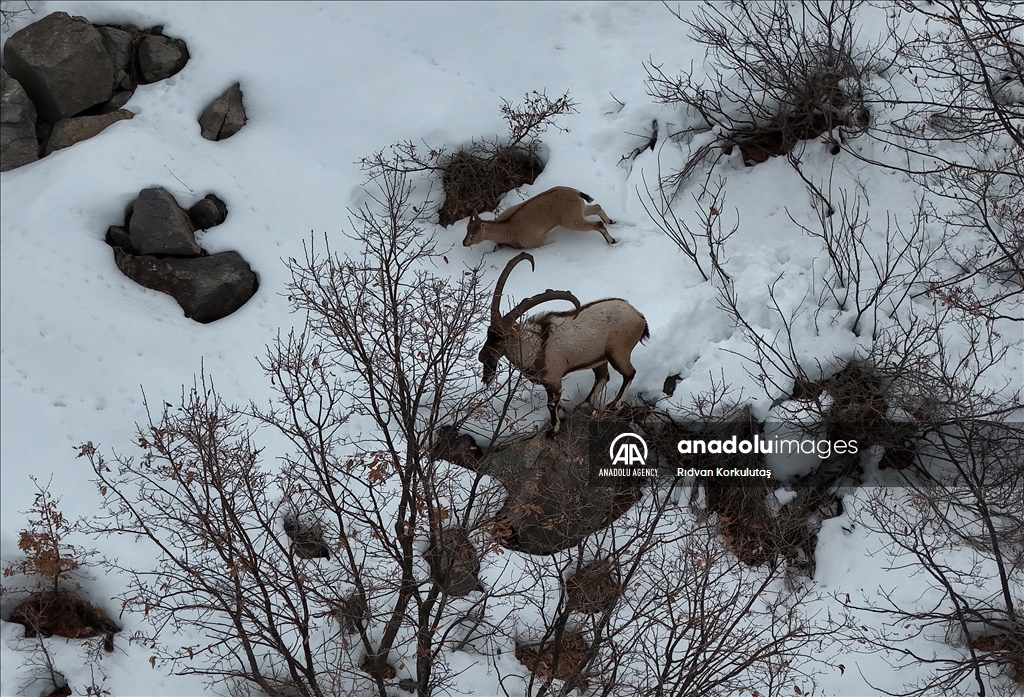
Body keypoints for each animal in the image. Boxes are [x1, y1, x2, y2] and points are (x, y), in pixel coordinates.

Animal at [463, 186, 616, 249]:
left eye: (474, 235)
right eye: (467, 230)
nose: (464, 243)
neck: (509, 228)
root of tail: (577, 193)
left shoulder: (535, 242)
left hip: (571, 220)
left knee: (597, 224)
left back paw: (612, 240)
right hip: (579, 211)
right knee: (597, 206)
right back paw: (611, 220)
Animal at [479, 252, 649, 434]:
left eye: (502, 338)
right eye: (489, 333)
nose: (482, 357)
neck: (536, 347)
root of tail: (639, 316)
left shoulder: (553, 379)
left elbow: (551, 404)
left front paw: (553, 430)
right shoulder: (551, 383)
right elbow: (557, 403)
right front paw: (563, 417)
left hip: (618, 351)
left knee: (629, 373)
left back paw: (612, 405)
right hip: (599, 358)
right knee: (603, 376)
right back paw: (584, 404)